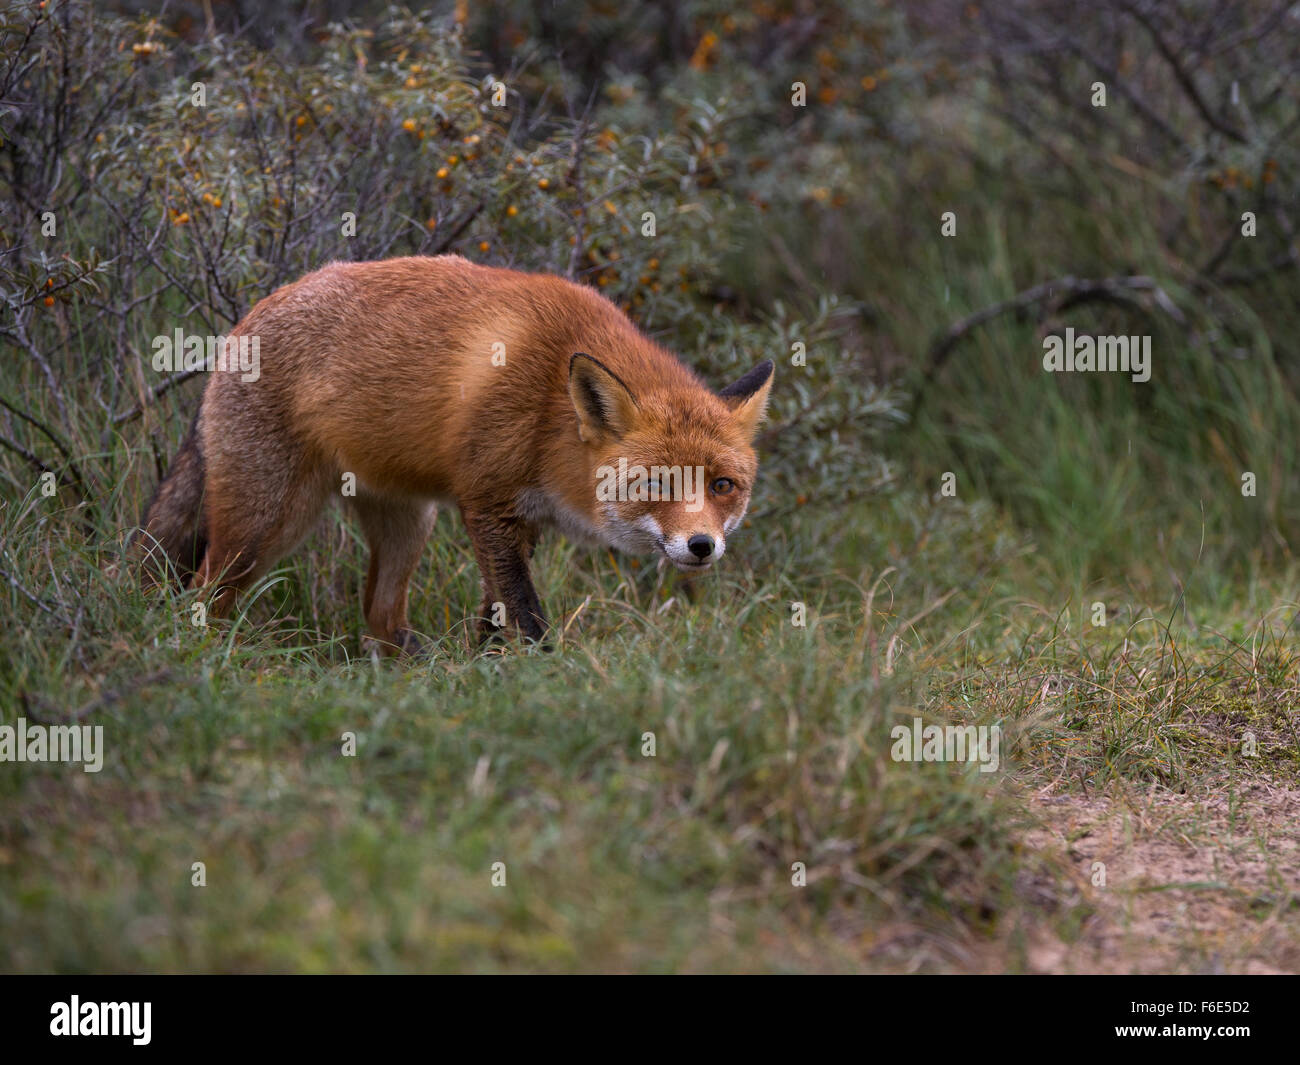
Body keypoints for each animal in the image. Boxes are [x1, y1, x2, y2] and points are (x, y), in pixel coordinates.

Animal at [135, 255, 774, 654]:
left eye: (722, 486)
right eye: (656, 484)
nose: (701, 545)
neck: (549, 411)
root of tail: (239, 325)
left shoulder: (519, 520)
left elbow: (494, 612)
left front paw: (484, 671)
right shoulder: (485, 501)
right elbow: (525, 612)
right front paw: (545, 671)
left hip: (407, 525)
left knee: (380, 617)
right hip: (264, 522)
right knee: (203, 595)